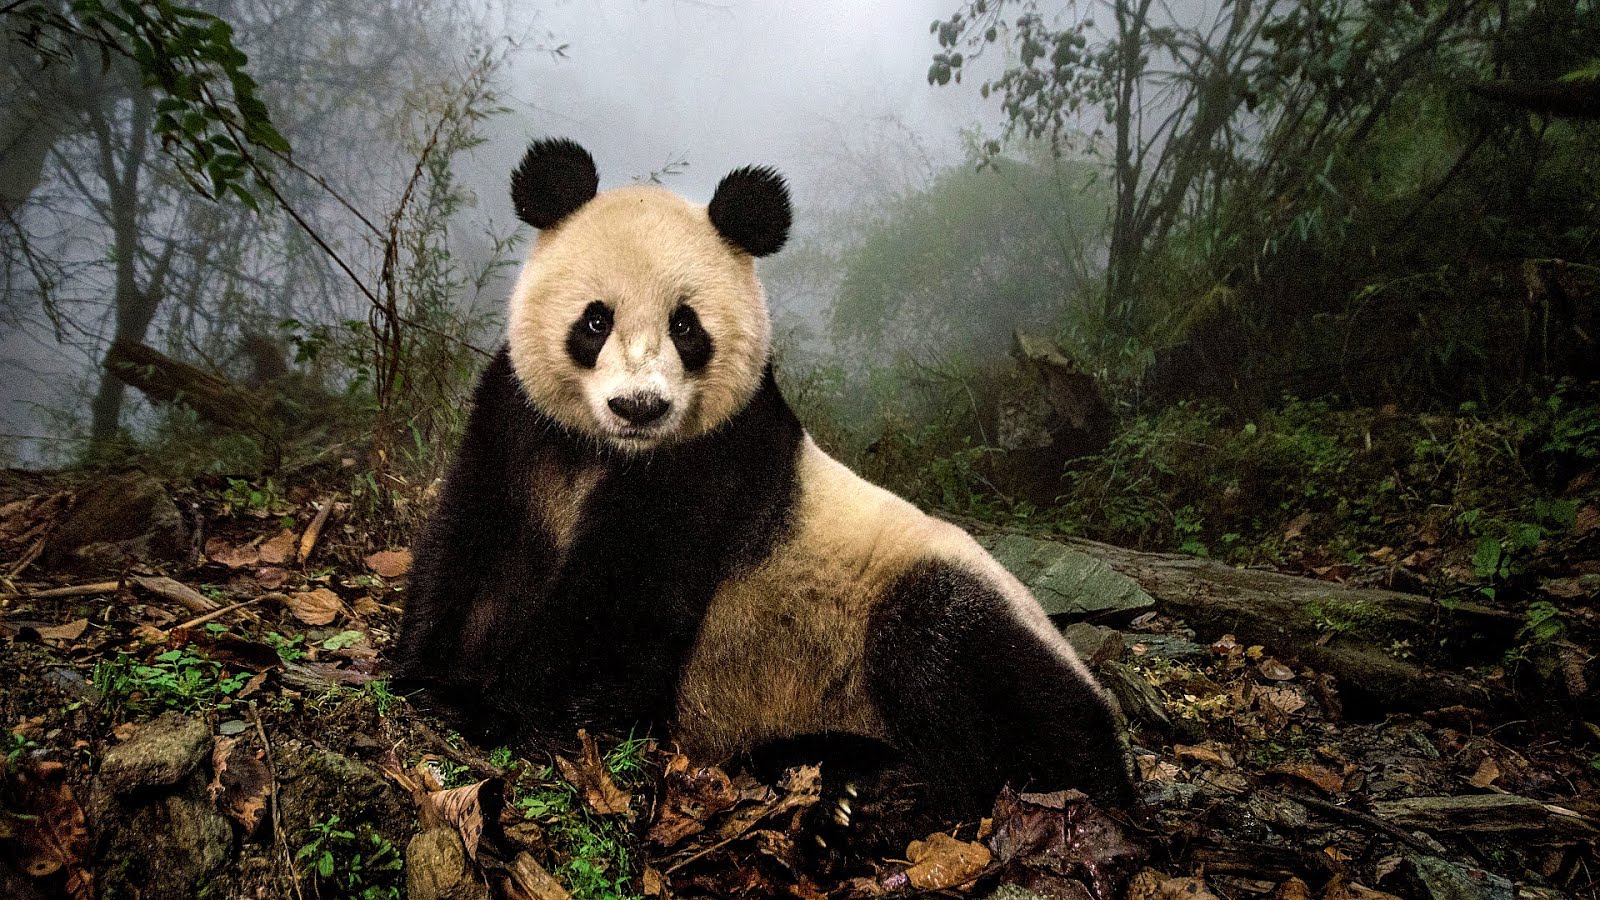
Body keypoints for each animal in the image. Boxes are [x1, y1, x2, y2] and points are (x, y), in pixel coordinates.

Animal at [393, 137, 1134, 867]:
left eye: (686, 327)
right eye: (595, 320)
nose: (640, 406)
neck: (611, 452)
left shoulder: (716, 463)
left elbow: (620, 601)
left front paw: (498, 702)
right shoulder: (517, 424)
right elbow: (470, 538)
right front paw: (423, 670)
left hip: (948, 604)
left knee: (964, 685)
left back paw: (879, 814)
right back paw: (836, 787)